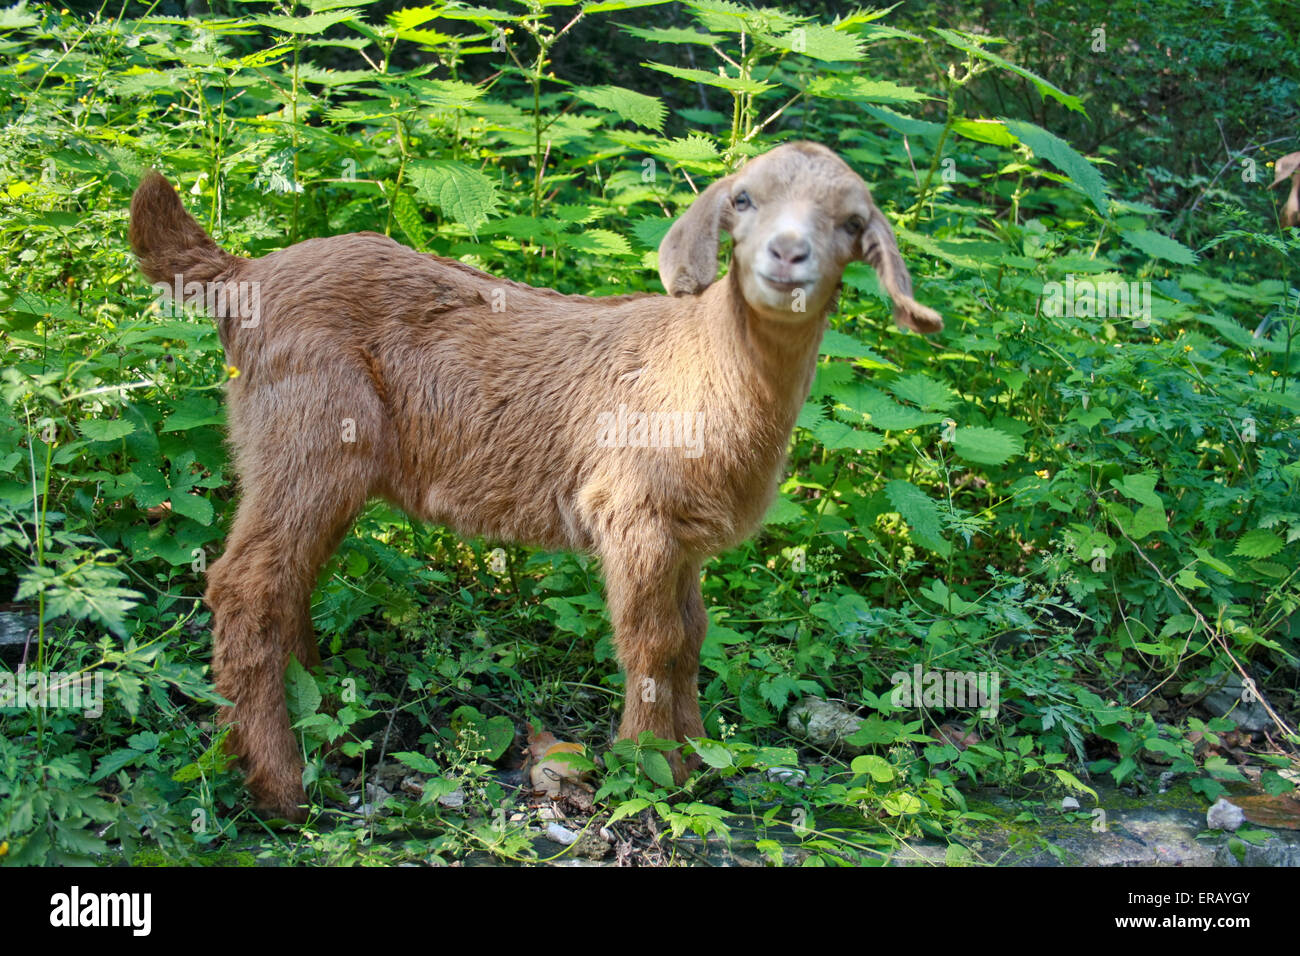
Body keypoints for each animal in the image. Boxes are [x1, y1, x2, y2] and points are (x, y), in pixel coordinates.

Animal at [129, 141, 942, 821]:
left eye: (852, 221)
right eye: (743, 199)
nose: (788, 254)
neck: (704, 367)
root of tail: (245, 276)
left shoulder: (682, 538)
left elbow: (690, 639)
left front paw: (691, 762)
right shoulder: (633, 512)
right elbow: (651, 643)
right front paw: (648, 768)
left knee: (287, 579)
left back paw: (312, 722)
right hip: (309, 435)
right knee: (245, 584)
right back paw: (279, 787)